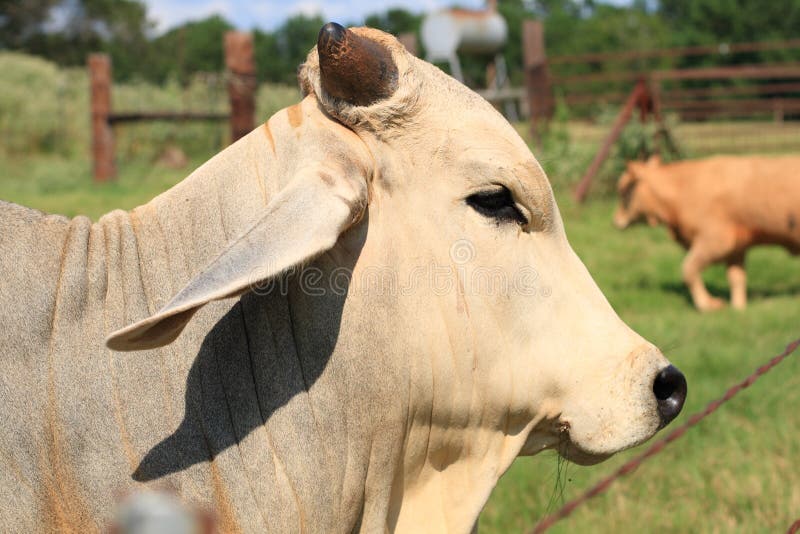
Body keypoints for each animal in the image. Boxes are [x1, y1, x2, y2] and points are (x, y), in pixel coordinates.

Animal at [614, 154, 800, 312]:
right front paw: (738, 308)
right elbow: (736, 278)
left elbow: (688, 270)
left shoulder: (716, 241)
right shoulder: (736, 247)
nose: (615, 220)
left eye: (624, 191)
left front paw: (707, 304)